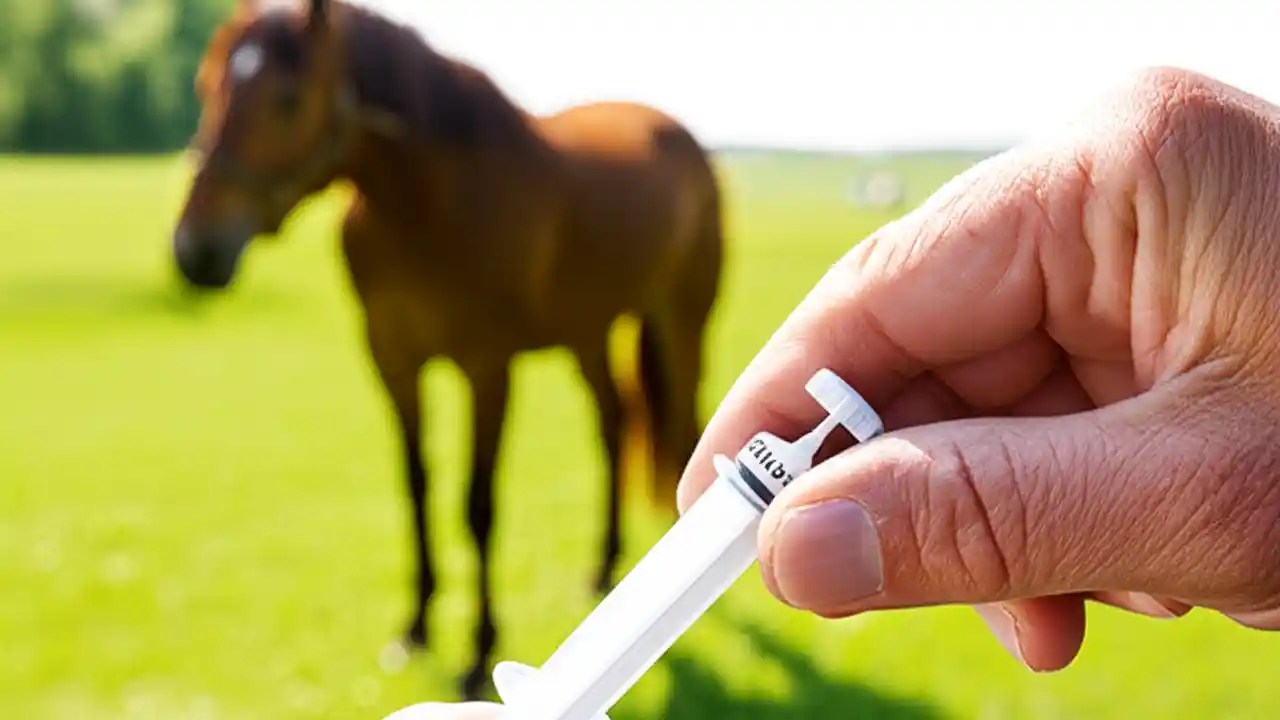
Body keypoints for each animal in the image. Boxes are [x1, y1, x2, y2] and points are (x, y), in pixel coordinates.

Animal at [172, 0, 724, 698]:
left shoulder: (488, 369)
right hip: (587, 333)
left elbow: (477, 504)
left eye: (288, 98)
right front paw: (415, 629)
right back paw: (602, 570)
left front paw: (478, 653)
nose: (195, 251)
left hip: (682, 321)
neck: (427, 204)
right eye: (206, 86)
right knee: (614, 424)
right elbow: (416, 485)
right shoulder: (392, 360)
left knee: (685, 425)